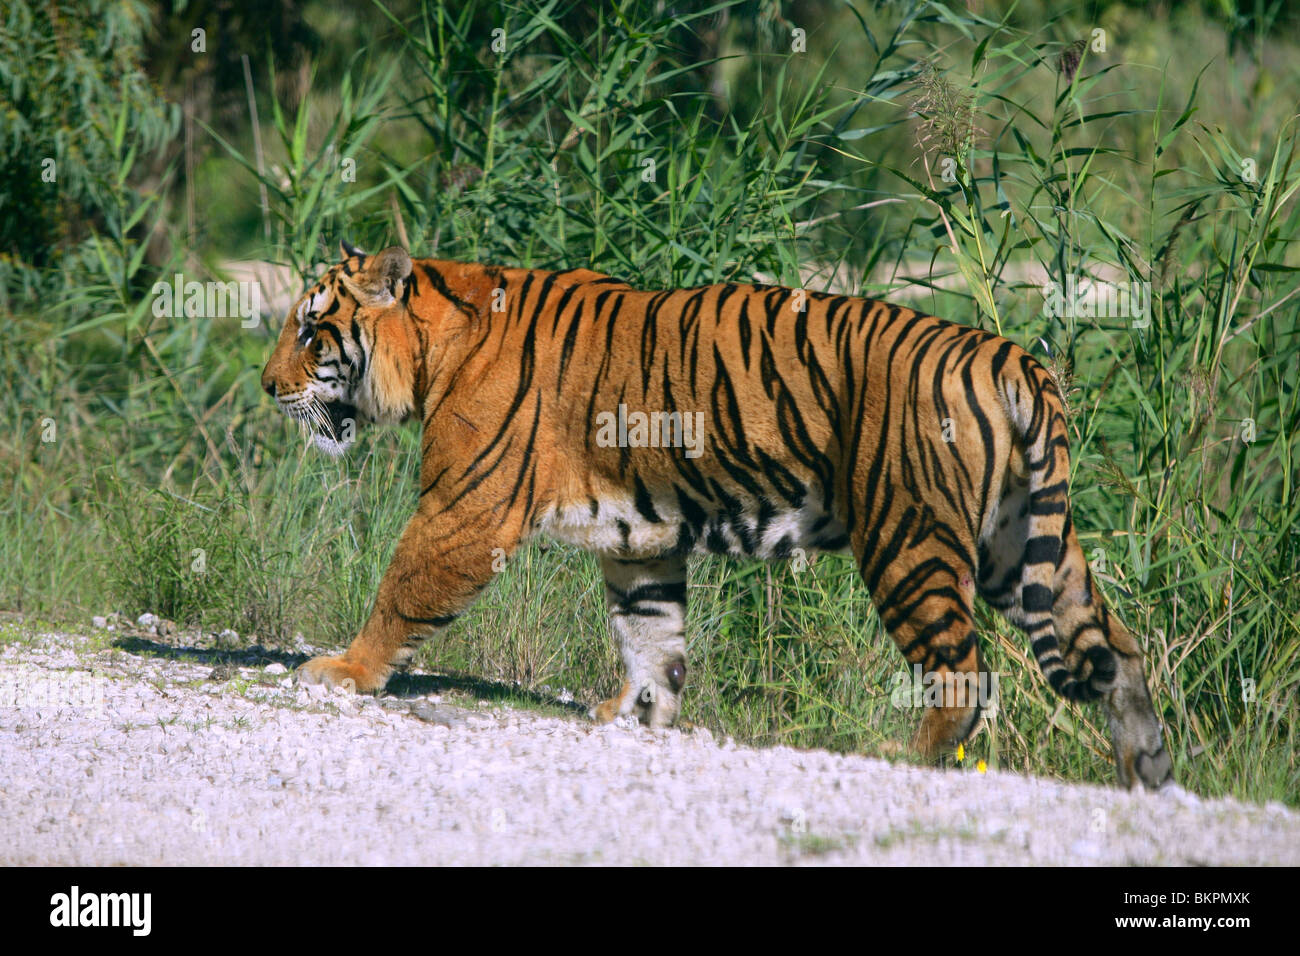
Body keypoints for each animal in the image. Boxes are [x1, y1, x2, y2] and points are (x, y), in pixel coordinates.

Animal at [260, 239, 1173, 790]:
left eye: (311, 331)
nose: (267, 387)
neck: (433, 351)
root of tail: (1012, 355)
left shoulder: (464, 511)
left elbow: (402, 590)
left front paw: (341, 670)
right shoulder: (639, 539)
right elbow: (651, 637)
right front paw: (634, 717)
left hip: (909, 537)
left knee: (962, 670)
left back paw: (900, 758)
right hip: (1022, 548)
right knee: (1118, 652)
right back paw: (1149, 774)